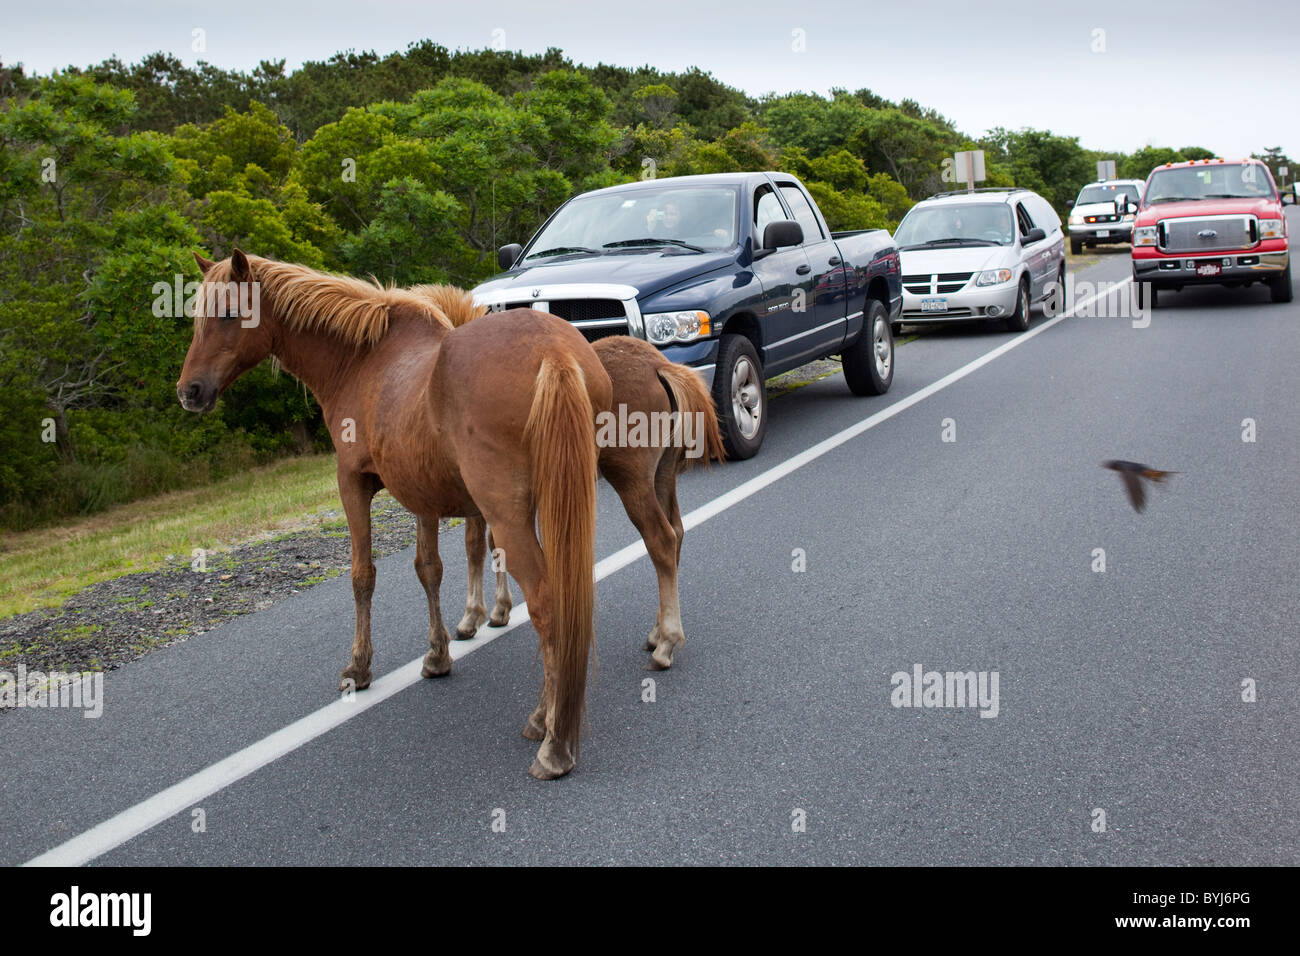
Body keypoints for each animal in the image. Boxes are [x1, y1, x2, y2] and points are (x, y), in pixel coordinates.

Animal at [177, 250, 610, 779]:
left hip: (511, 514)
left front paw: (359, 668)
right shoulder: (421, 493)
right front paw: (438, 654)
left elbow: (363, 575)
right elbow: (429, 570)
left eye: (227, 314)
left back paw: (553, 741)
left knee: (548, 605)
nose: (189, 391)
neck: (360, 361)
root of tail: (555, 353)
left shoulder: (353, 484)